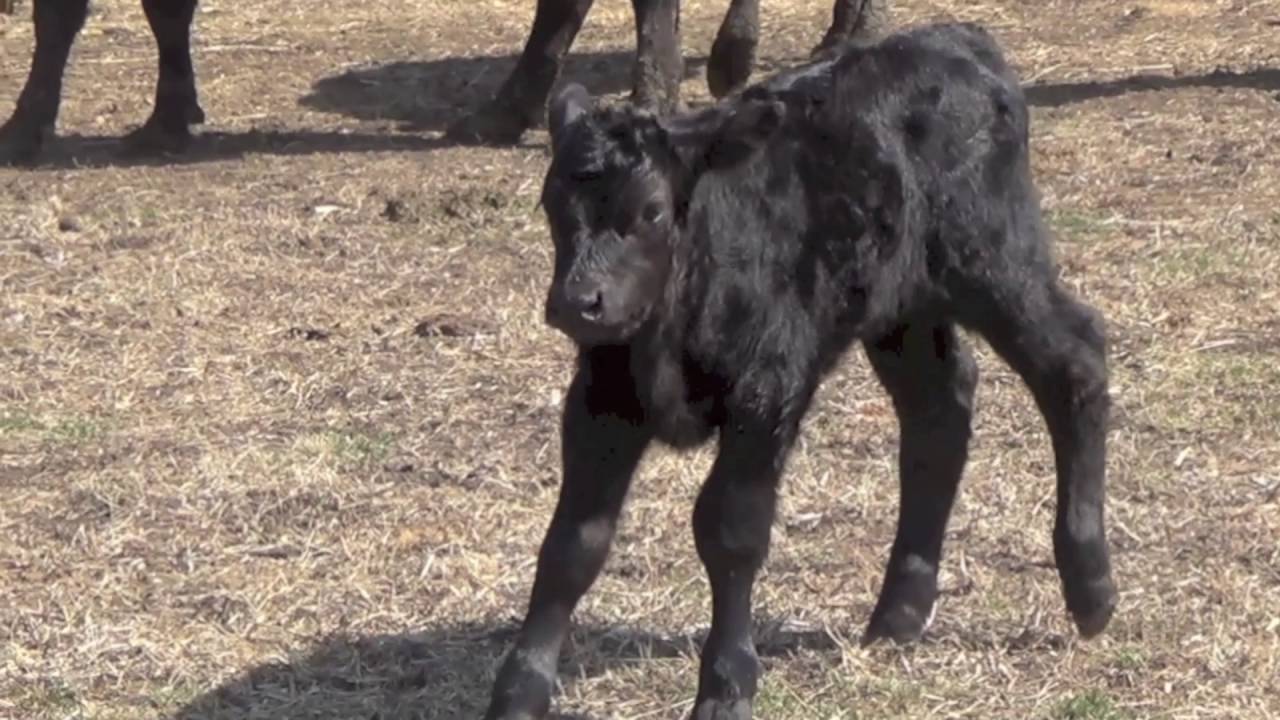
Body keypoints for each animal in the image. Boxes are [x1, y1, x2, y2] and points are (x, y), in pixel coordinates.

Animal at [482, 21, 1117, 720]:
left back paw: (1091, 587)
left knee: (1074, 362)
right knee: (939, 412)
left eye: (650, 210)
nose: (578, 301)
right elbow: (574, 541)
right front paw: (519, 690)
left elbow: (730, 528)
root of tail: (953, 38)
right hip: (900, 305)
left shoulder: (768, 388)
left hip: (995, 259)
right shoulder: (602, 398)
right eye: (551, 203)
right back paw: (901, 610)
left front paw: (726, 686)